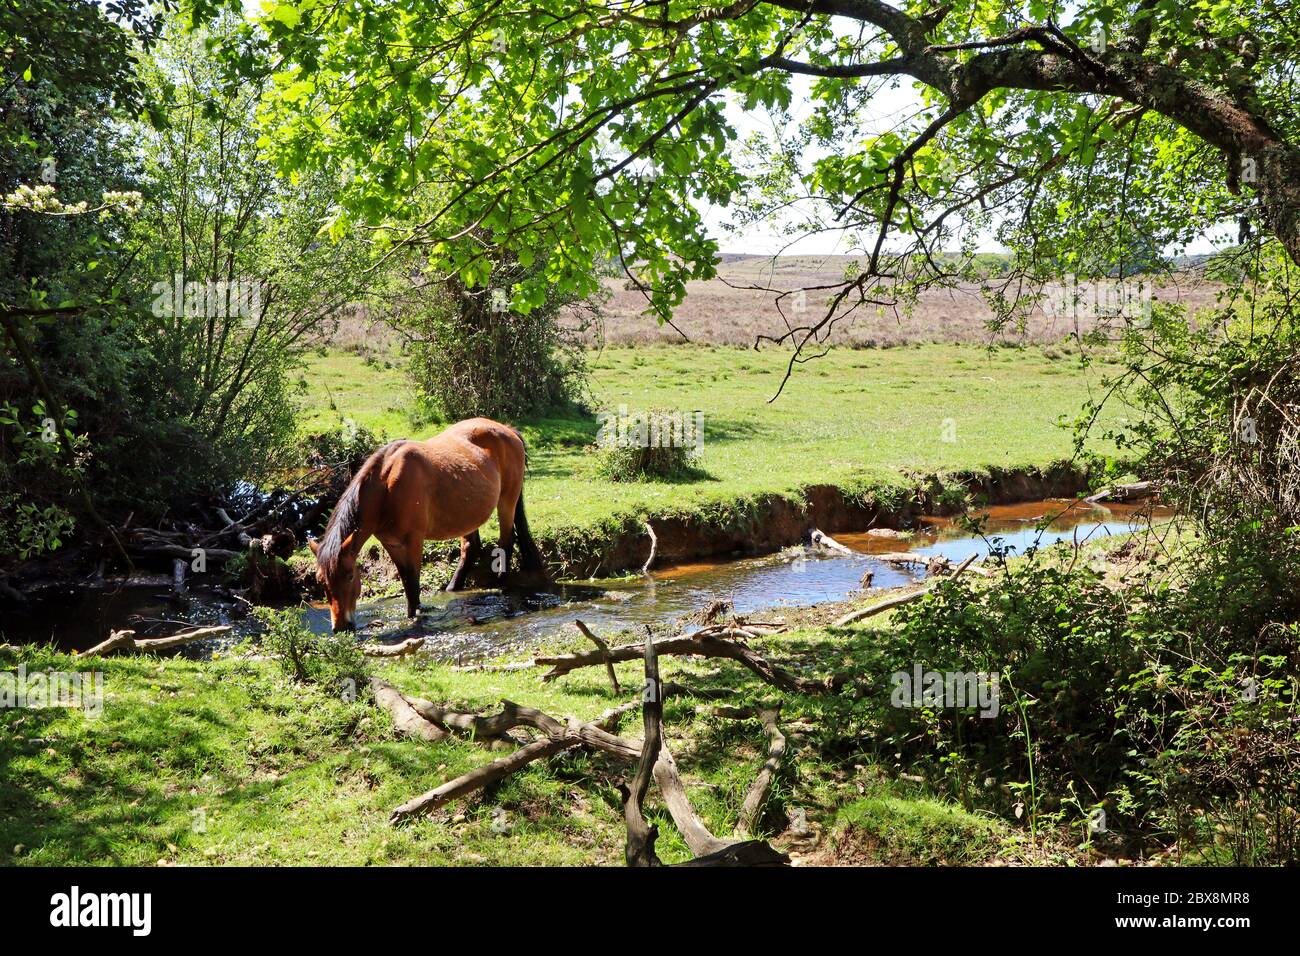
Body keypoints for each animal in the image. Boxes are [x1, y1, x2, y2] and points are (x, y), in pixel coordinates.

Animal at [308, 418, 548, 632]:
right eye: (321, 582)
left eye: (350, 576)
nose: (341, 626)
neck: (387, 487)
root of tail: (508, 430)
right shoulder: (391, 544)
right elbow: (406, 582)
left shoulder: (414, 540)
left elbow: (414, 584)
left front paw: (416, 617)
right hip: (469, 515)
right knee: (471, 548)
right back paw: (452, 588)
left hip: (507, 501)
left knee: (506, 542)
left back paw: (501, 585)